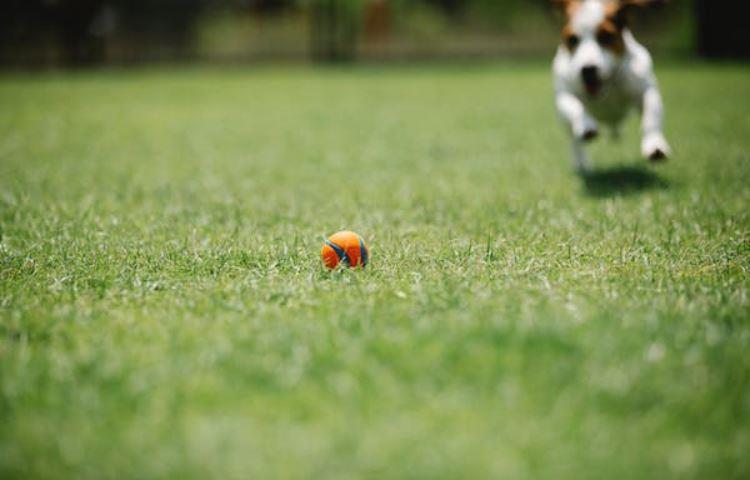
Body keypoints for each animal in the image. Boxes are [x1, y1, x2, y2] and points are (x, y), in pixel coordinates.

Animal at [556, 0, 672, 172]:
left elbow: (651, 118)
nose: (588, 69)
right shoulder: (564, 93)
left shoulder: (646, 90)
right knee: (574, 141)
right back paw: (581, 162)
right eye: (572, 39)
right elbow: (576, 106)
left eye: (606, 36)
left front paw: (654, 145)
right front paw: (586, 125)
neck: (607, 86)